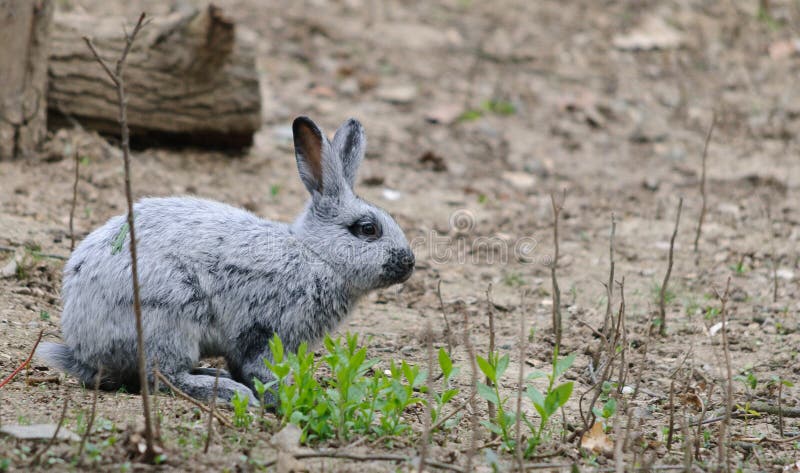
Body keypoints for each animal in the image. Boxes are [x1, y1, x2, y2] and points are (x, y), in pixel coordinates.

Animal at [36, 116, 415, 406]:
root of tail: (82, 348)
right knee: (161, 376)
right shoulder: (266, 330)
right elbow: (259, 370)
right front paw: (283, 397)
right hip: (169, 321)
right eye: (367, 229)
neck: (316, 255)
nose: (409, 262)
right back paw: (226, 392)